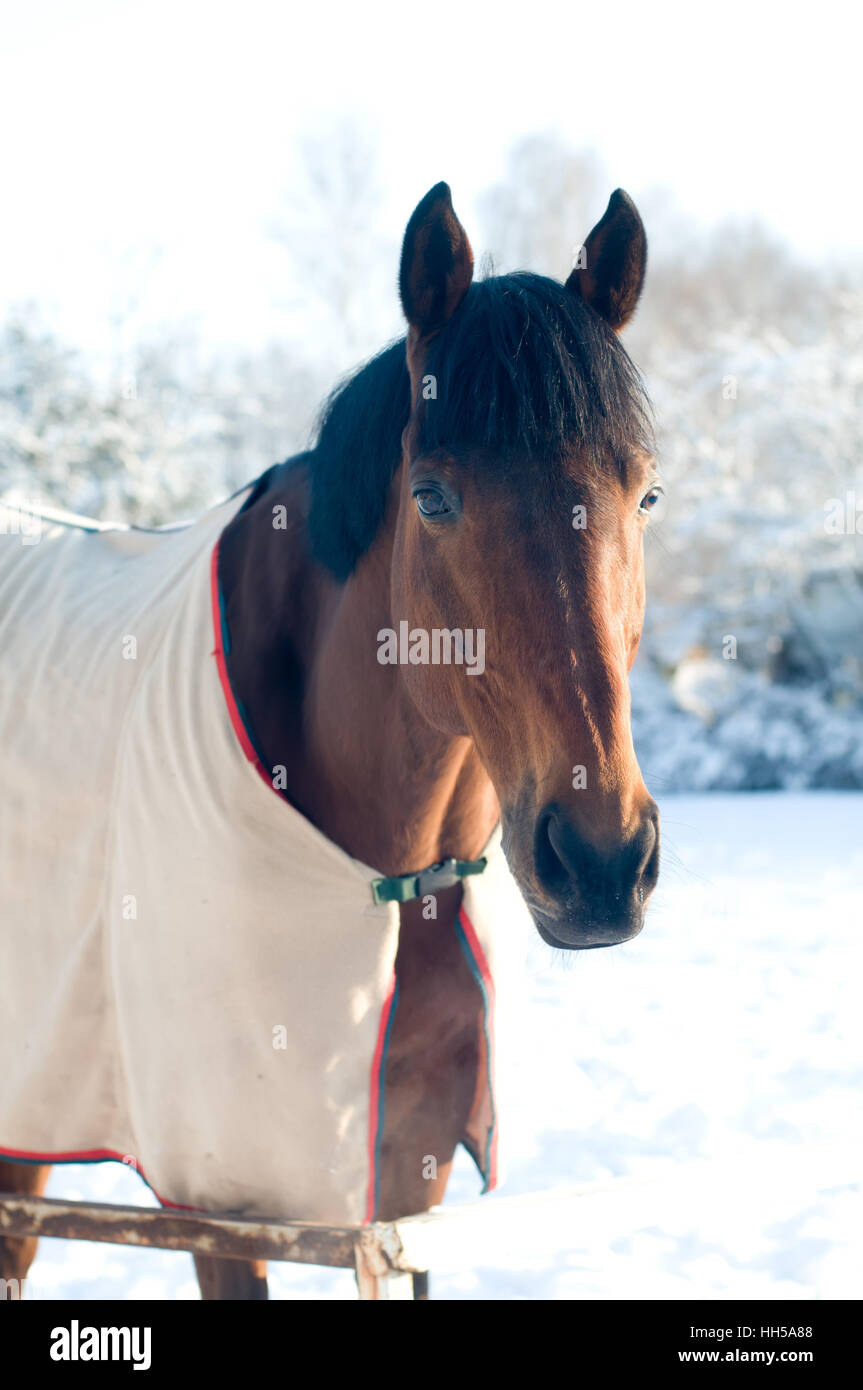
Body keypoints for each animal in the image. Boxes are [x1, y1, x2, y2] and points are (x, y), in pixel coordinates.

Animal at [0, 181, 661, 1300]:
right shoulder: (222, 1203)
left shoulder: (408, 1185)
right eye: (432, 495)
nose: (603, 859)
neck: (390, 882)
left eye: (646, 491)